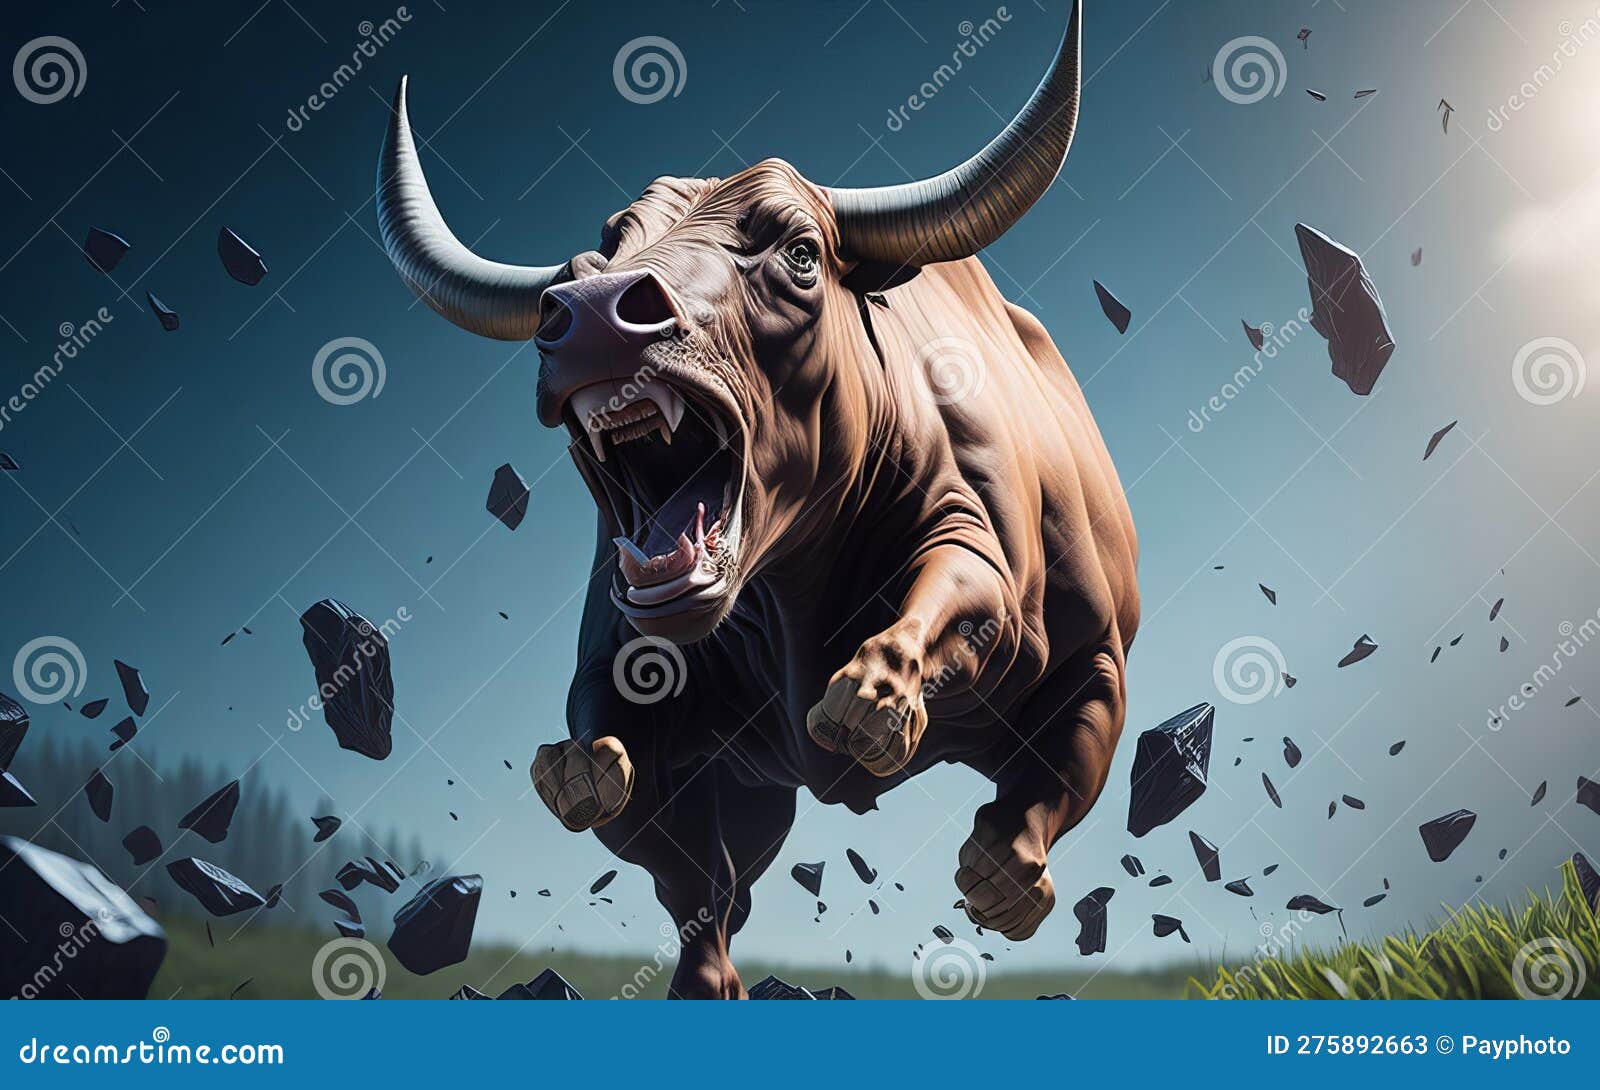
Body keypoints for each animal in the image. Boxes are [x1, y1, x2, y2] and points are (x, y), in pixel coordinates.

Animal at [377, 0, 1137, 998]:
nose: (593, 312)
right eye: (578, 271)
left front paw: (877, 698)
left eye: (801, 253)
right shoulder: (642, 681)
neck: (792, 593)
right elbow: (638, 805)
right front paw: (582, 771)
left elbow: (980, 614)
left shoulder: (1082, 656)